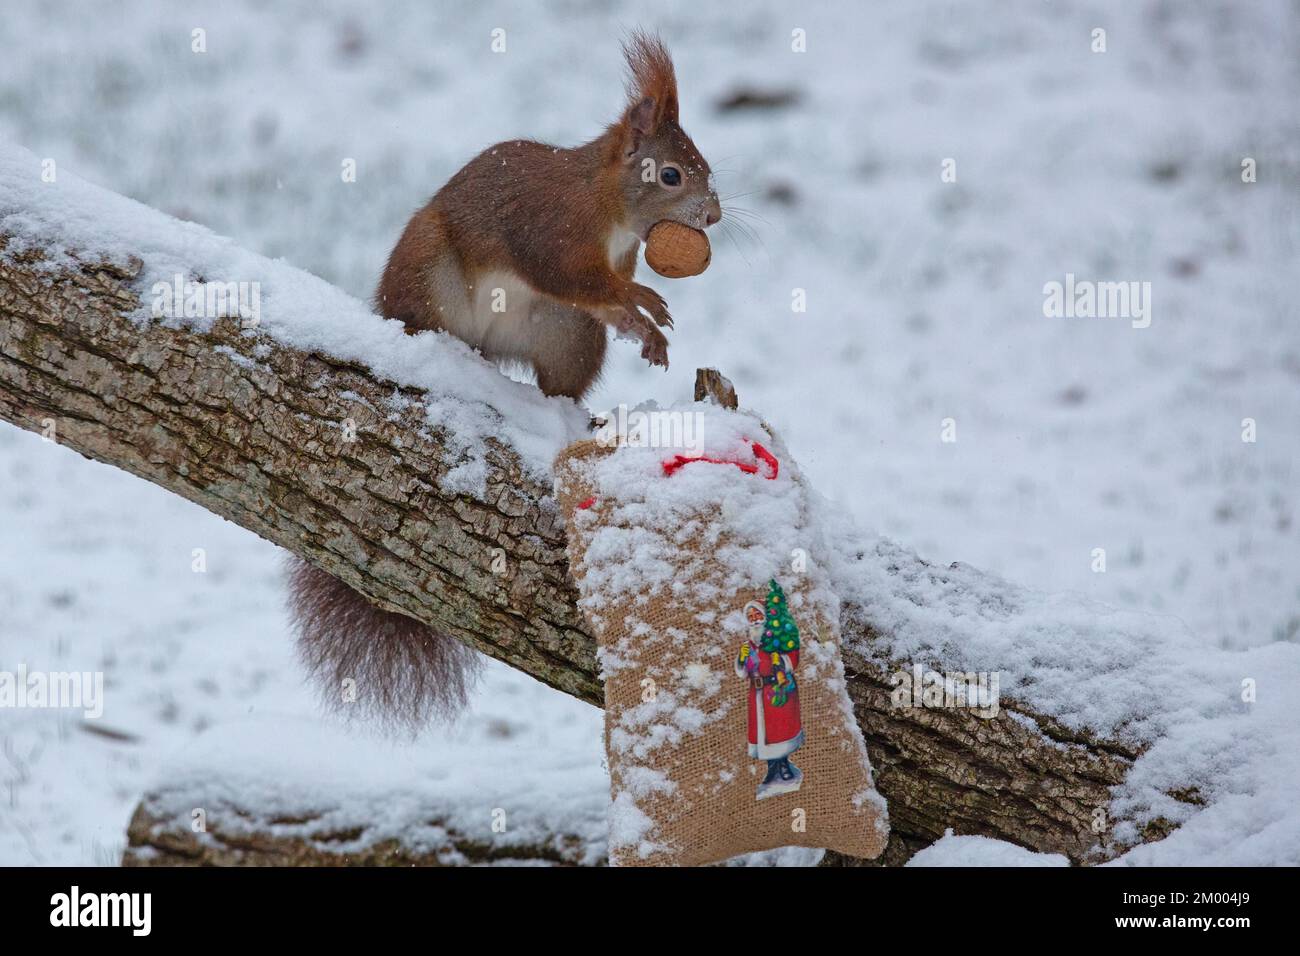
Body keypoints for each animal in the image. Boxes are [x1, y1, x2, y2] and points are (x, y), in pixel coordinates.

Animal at [289, 31, 721, 728]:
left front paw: (646, 326)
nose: (713, 216)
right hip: (429, 273)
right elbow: (575, 276)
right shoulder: (552, 230)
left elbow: (600, 296)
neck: (608, 206)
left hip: (567, 336)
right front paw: (641, 304)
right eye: (672, 174)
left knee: (559, 379)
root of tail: (492, 348)